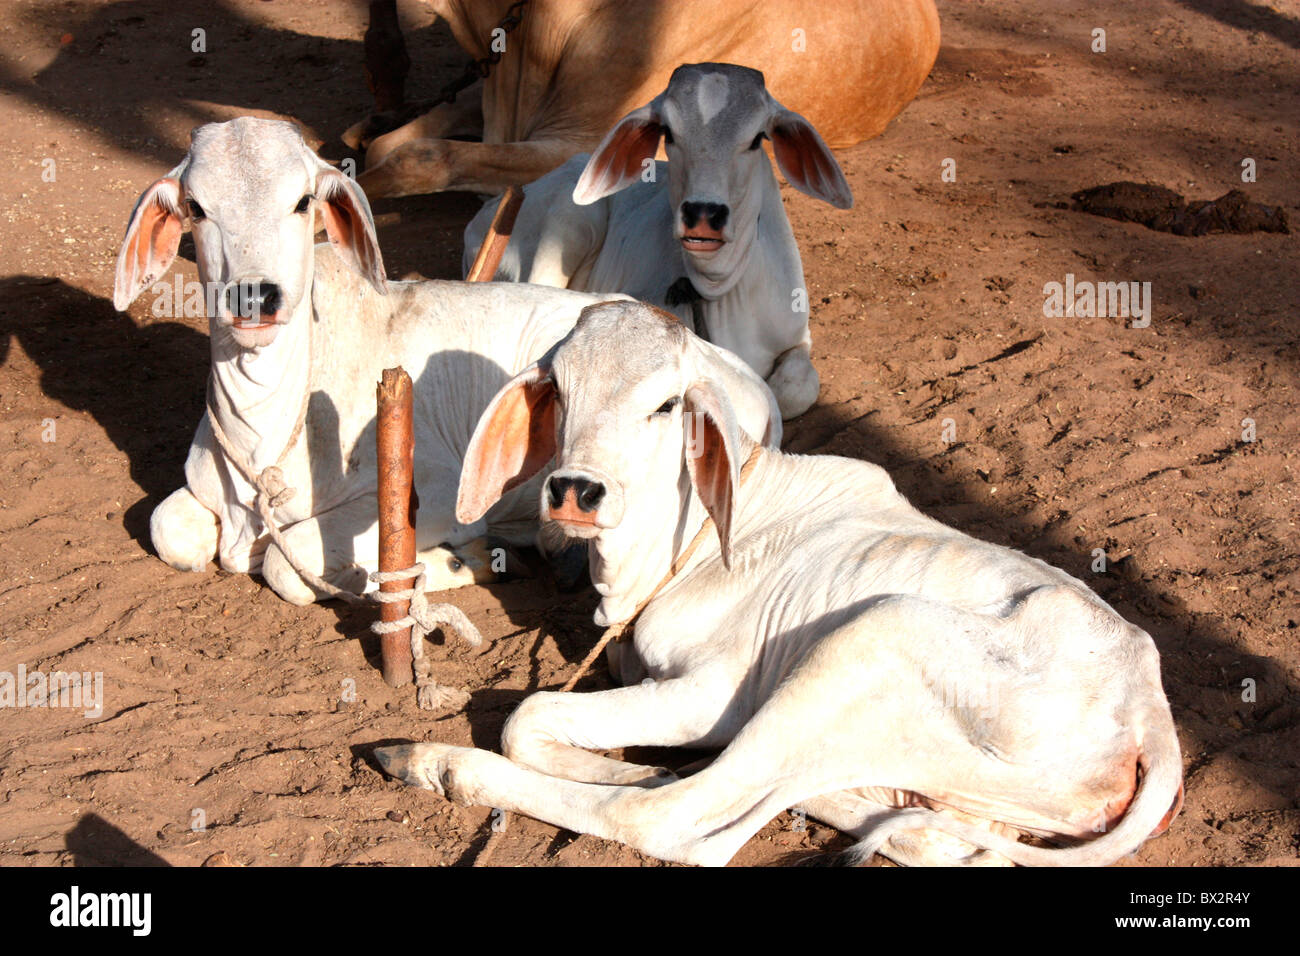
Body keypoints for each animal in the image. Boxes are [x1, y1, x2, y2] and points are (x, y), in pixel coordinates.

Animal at [375, 301, 1184, 867]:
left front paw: (628, 771)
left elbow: (525, 718)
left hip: (867, 641)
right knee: (942, 840)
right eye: (563, 394)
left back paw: (429, 761)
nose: (575, 490)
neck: (683, 546)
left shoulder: (711, 696)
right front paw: (631, 767)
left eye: (665, 405)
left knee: (682, 819)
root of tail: (1149, 703)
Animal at [462, 62, 850, 420]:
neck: (721, 290)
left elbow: (792, 392)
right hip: (570, 226)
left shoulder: (799, 339)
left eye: (757, 139)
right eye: (670, 134)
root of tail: (487, 212)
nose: (703, 214)